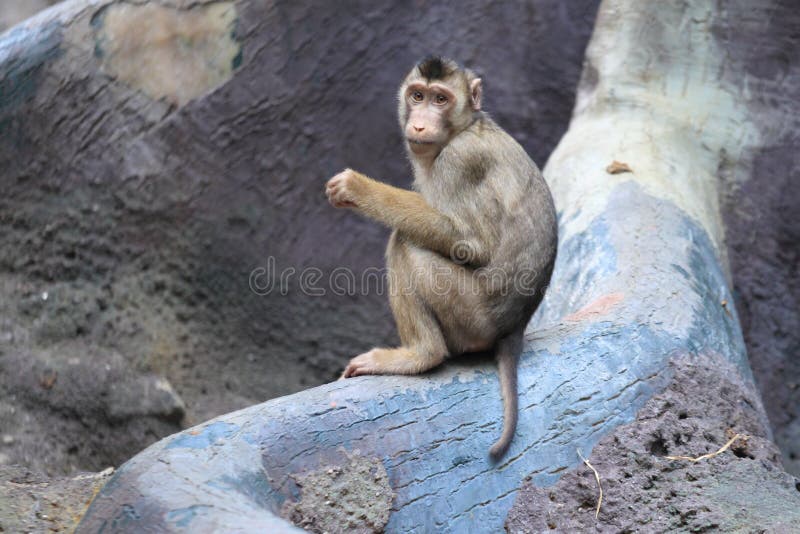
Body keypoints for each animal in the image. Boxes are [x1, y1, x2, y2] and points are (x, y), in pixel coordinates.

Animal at [325, 57, 557, 458]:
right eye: (417, 96)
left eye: (440, 100)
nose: (419, 122)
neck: (465, 127)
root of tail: (513, 329)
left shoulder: (460, 161)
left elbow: (472, 242)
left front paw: (357, 188)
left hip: (474, 317)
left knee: (407, 244)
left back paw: (421, 356)